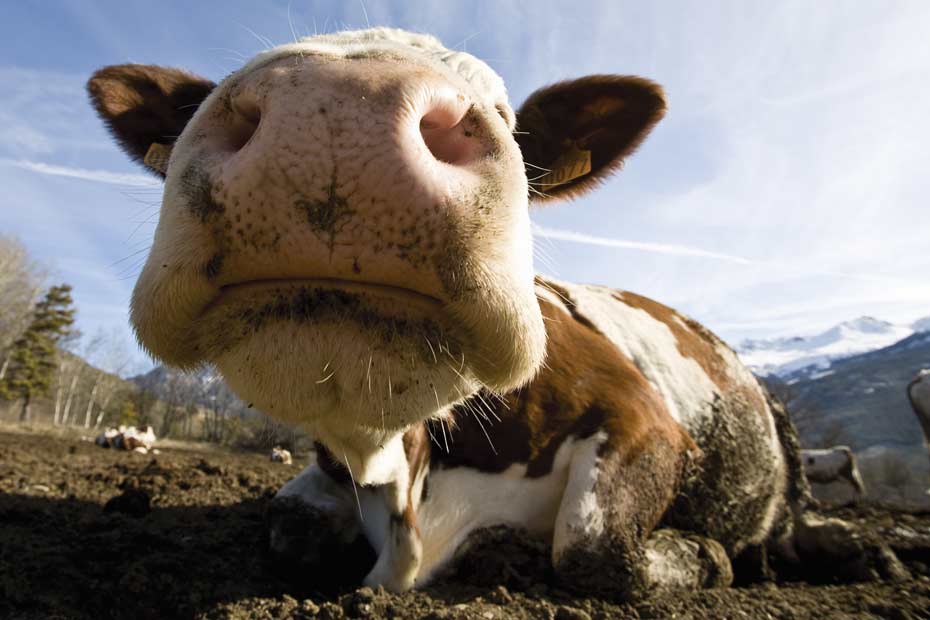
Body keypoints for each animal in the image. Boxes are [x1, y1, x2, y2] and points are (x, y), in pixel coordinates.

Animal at [86, 27, 902, 596]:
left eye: (511, 119)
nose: (335, 115)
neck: (401, 469)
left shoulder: (643, 417)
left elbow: (590, 544)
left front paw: (700, 555)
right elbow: (286, 528)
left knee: (791, 521)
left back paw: (854, 549)